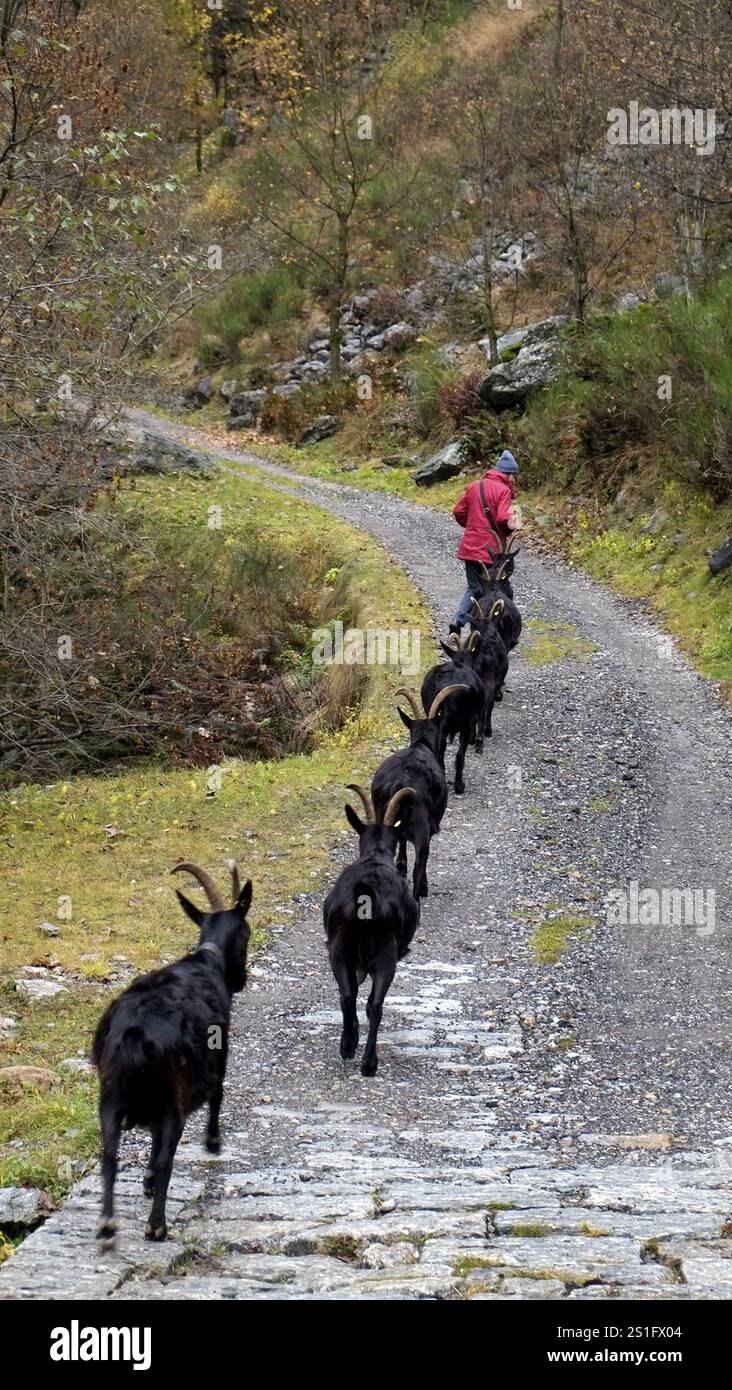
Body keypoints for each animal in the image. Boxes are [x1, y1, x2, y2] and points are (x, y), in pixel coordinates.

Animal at [91, 861, 252, 1247]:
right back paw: (157, 1226)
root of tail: (135, 1035)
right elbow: (218, 1093)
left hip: (110, 1097)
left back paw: (107, 1225)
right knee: (168, 1155)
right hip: (173, 1097)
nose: (241, 980)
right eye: (248, 933)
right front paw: (213, 1142)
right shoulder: (219, 1053)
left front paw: (146, 1179)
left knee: (109, 1154)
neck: (206, 960)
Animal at [323, 785, 419, 1076]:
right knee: (376, 1006)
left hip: (339, 949)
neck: (375, 853)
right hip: (386, 953)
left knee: (346, 996)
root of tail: (366, 895)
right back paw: (368, 1062)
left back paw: (348, 1046)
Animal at [371, 683, 467, 899]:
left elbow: (401, 853)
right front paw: (424, 886)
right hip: (421, 829)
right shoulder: (429, 828)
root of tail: (399, 785)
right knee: (419, 864)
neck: (420, 744)